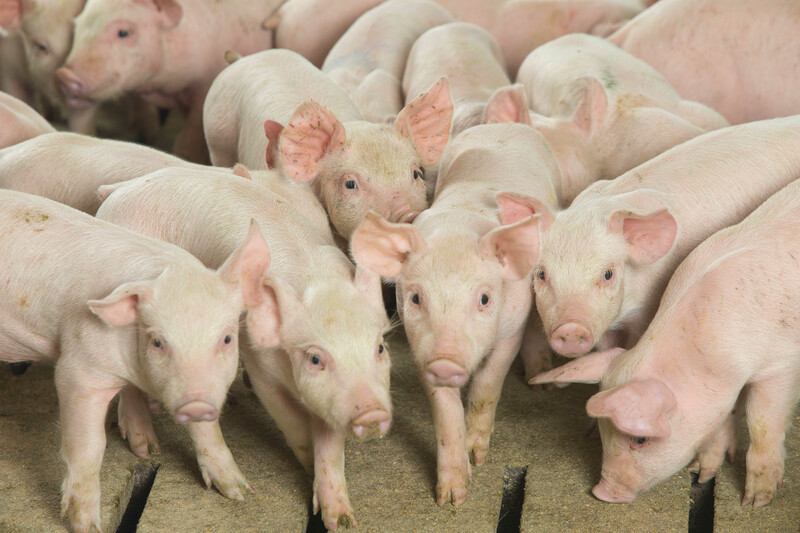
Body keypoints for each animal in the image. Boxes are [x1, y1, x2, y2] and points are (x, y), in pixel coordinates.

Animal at [0, 189, 271, 532]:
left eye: (226, 339)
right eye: (158, 342)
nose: (196, 403)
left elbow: (208, 431)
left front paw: (239, 492)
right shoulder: (78, 371)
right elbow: (89, 446)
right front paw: (87, 525)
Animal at [56, 0, 282, 163]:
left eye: (124, 32)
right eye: (77, 26)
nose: (65, 76)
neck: (162, 87)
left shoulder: (203, 87)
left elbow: (187, 142)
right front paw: (146, 137)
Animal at [96, 168, 392, 530]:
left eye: (380, 348)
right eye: (315, 358)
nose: (373, 412)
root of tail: (119, 189)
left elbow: (331, 446)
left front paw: (342, 520)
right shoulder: (259, 362)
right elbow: (292, 423)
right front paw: (297, 467)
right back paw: (158, 455)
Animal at [351, 122, 561, 506]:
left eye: (484, 298)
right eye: (416, 297)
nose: (446, 362)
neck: (457, 232)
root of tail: (501, 125)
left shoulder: (513, 325)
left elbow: (488, 384)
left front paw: (479, 457)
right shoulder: (419, 346)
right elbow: (444, 412)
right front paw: (452, 498)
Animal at [532, 177, 800, 507]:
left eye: (640, 439)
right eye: (605, 435)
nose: (601, 492)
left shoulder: (781, 366)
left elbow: (762, 422)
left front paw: (755, 501)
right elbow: (725, 418)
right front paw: (702, 473)